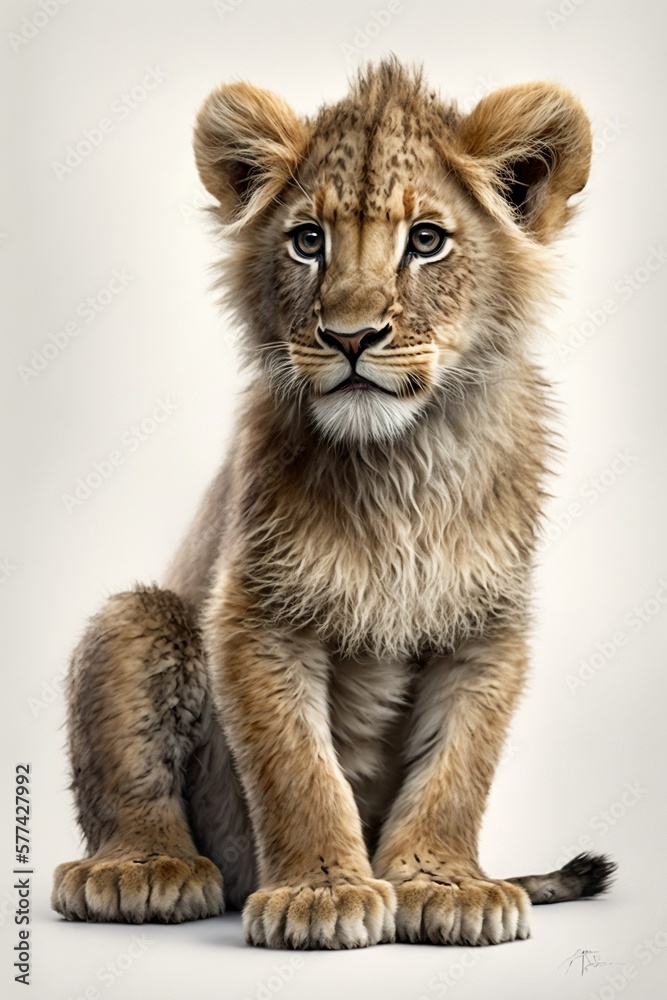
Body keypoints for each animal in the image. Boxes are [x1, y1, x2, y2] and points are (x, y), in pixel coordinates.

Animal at [52, 59, 615, 948]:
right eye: (307, 240)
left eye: (426, 240)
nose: (351, 337)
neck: (402, 471)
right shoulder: (256, 616)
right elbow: (298, 770)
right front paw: (321, 892)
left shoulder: (487, 628)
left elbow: (458, 769)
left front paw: (446, 885)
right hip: (141, 616)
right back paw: (142, 870)